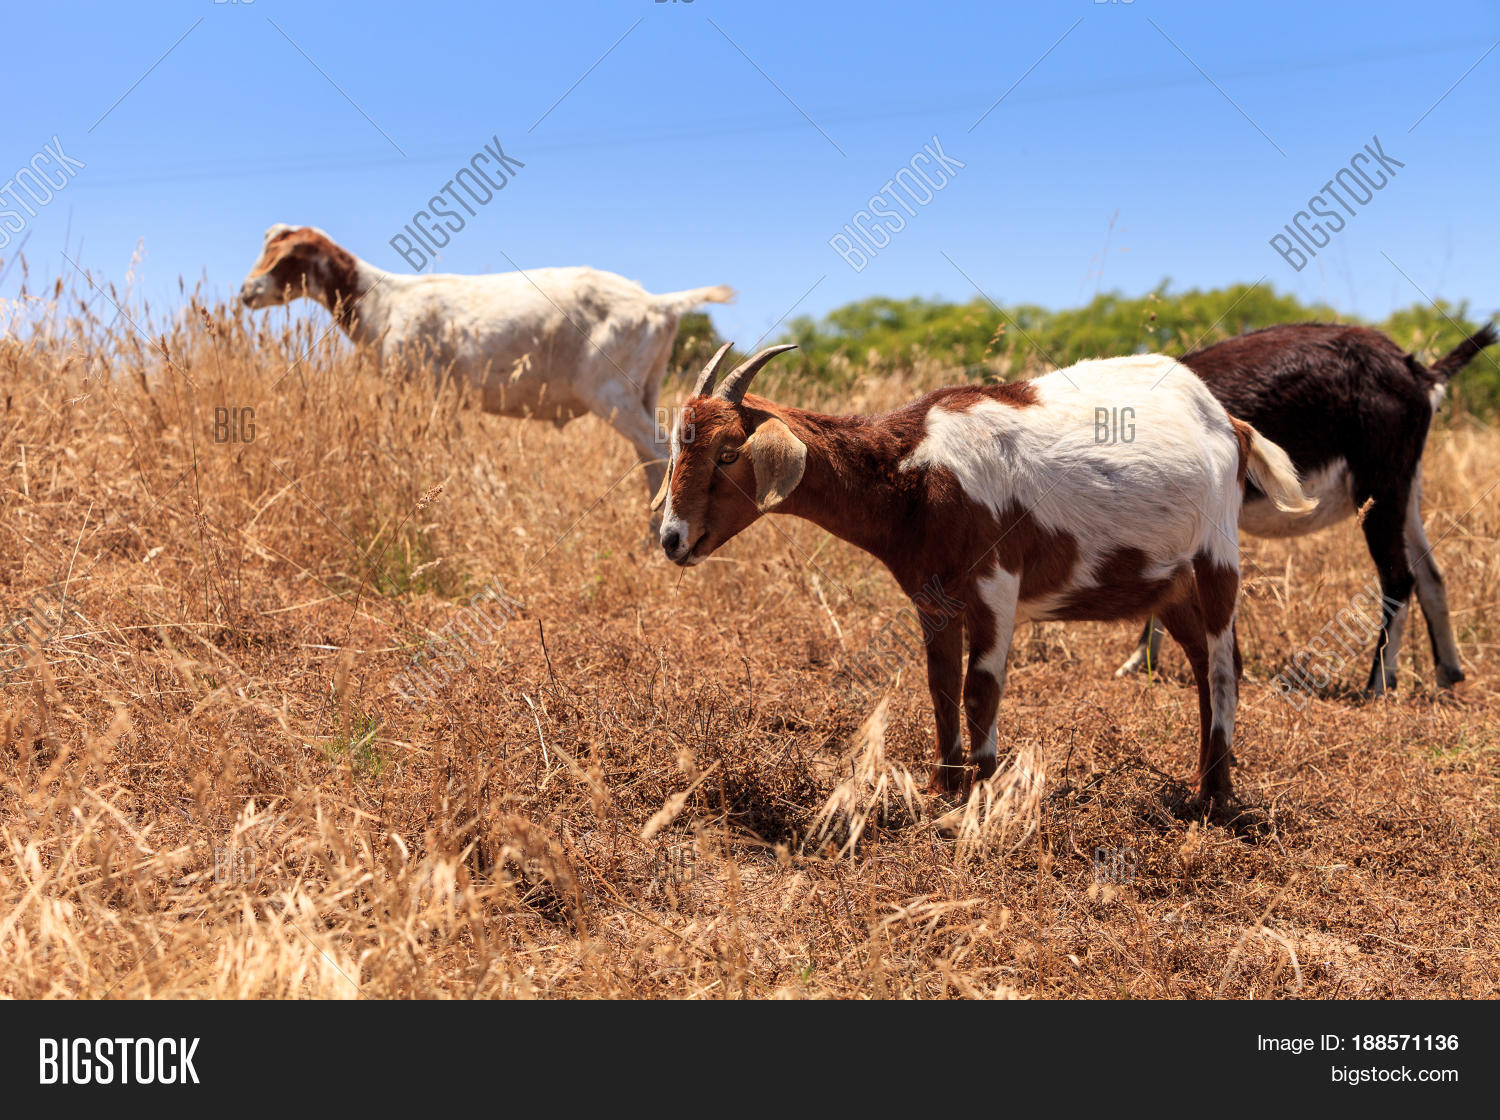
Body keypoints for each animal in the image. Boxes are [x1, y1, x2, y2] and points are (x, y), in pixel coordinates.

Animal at [238, 224, 733, 506]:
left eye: (288, 257)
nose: (246, 292)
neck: (384, 303)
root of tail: (660, 303)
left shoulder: (417, 386)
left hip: (611, 393)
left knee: (659, 453)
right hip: (643, 391)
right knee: (653, 460)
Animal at [655, 343, 1315, 806]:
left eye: (728, 455)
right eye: (678, 450)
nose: (672, 539)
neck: (914, 467)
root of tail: (1230, 422)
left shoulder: (997, 585)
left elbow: (981, 688)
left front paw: (985, 789)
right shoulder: (934, 597)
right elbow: (942, 685)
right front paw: (943, 786)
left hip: (1217, 556)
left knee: (1225, 665)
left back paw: (1218, 801)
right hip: (1169, 582)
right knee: (1205, 663)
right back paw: (1204, 783)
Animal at [1117, 322, 1498, 695]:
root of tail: (1418, 373)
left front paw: (1141, 662)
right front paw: (1140, 663)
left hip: (1379, 487)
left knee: (1399, 579)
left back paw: (1377, 686)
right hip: (1406, 490)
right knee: (1431, 576)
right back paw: (1448, 675)